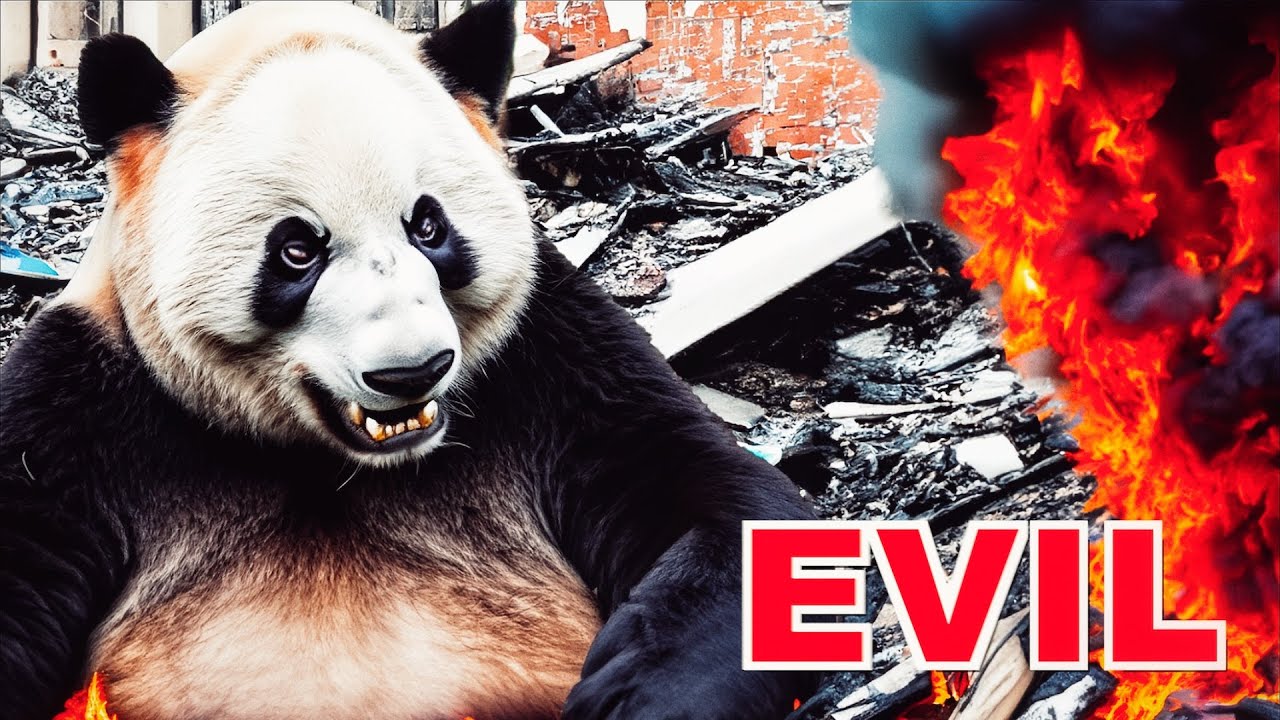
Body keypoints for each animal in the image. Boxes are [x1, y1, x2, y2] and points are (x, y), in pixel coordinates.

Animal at [0, 2, 818, 719]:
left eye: (429, 225)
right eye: (297, 250)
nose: (411, 372)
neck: (343, 462)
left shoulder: (555, 357)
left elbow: (721, 501)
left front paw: (637, 696)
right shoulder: (84, 399)